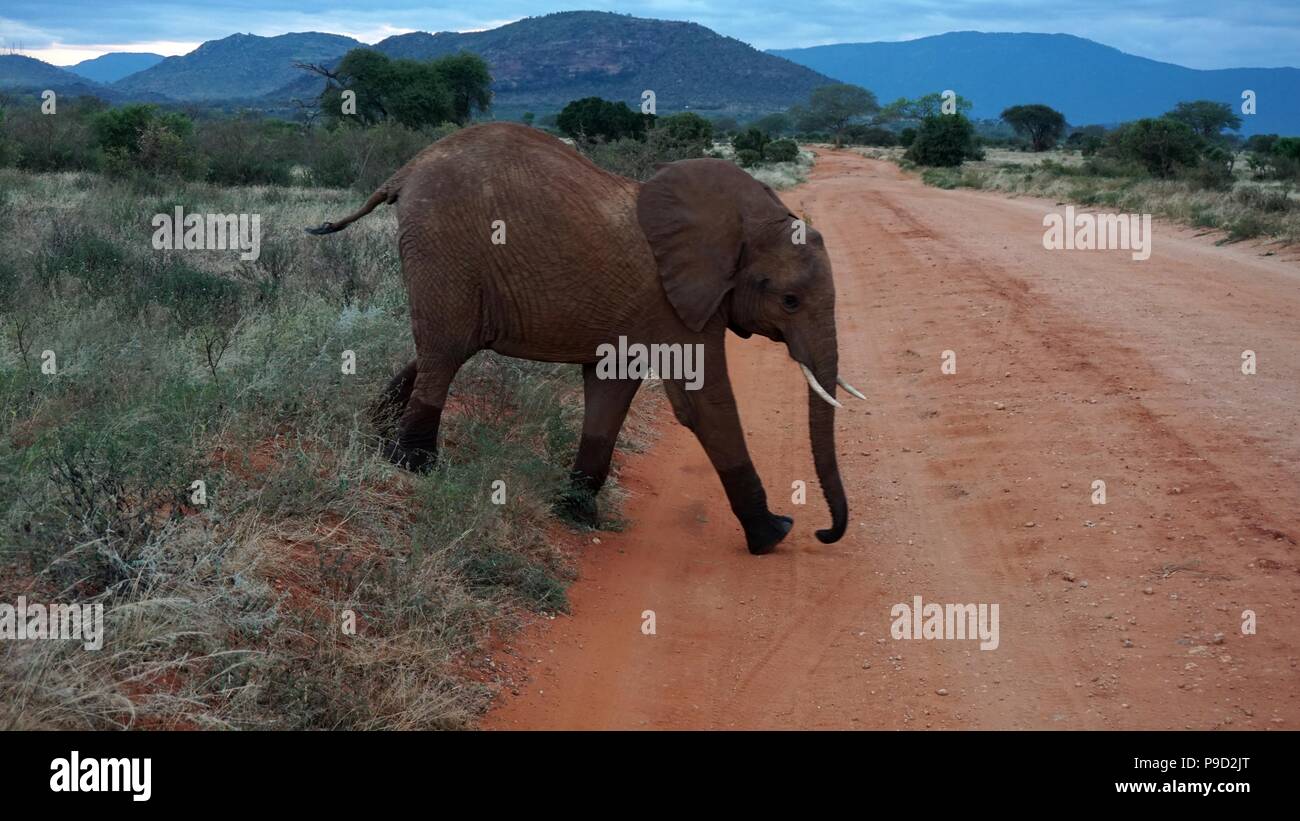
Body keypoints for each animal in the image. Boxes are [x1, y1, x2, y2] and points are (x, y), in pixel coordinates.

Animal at [307, 122, 862, 554]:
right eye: (790, 301)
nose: (824, 533)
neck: (745, 220)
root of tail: (406, 170)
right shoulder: (675, 303)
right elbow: (705, 404)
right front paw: (773, 535)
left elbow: (612, 388)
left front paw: (575, 512)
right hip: (445, 242)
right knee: (444, 352)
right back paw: (415, 468)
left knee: (445, 345)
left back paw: (379, 440)